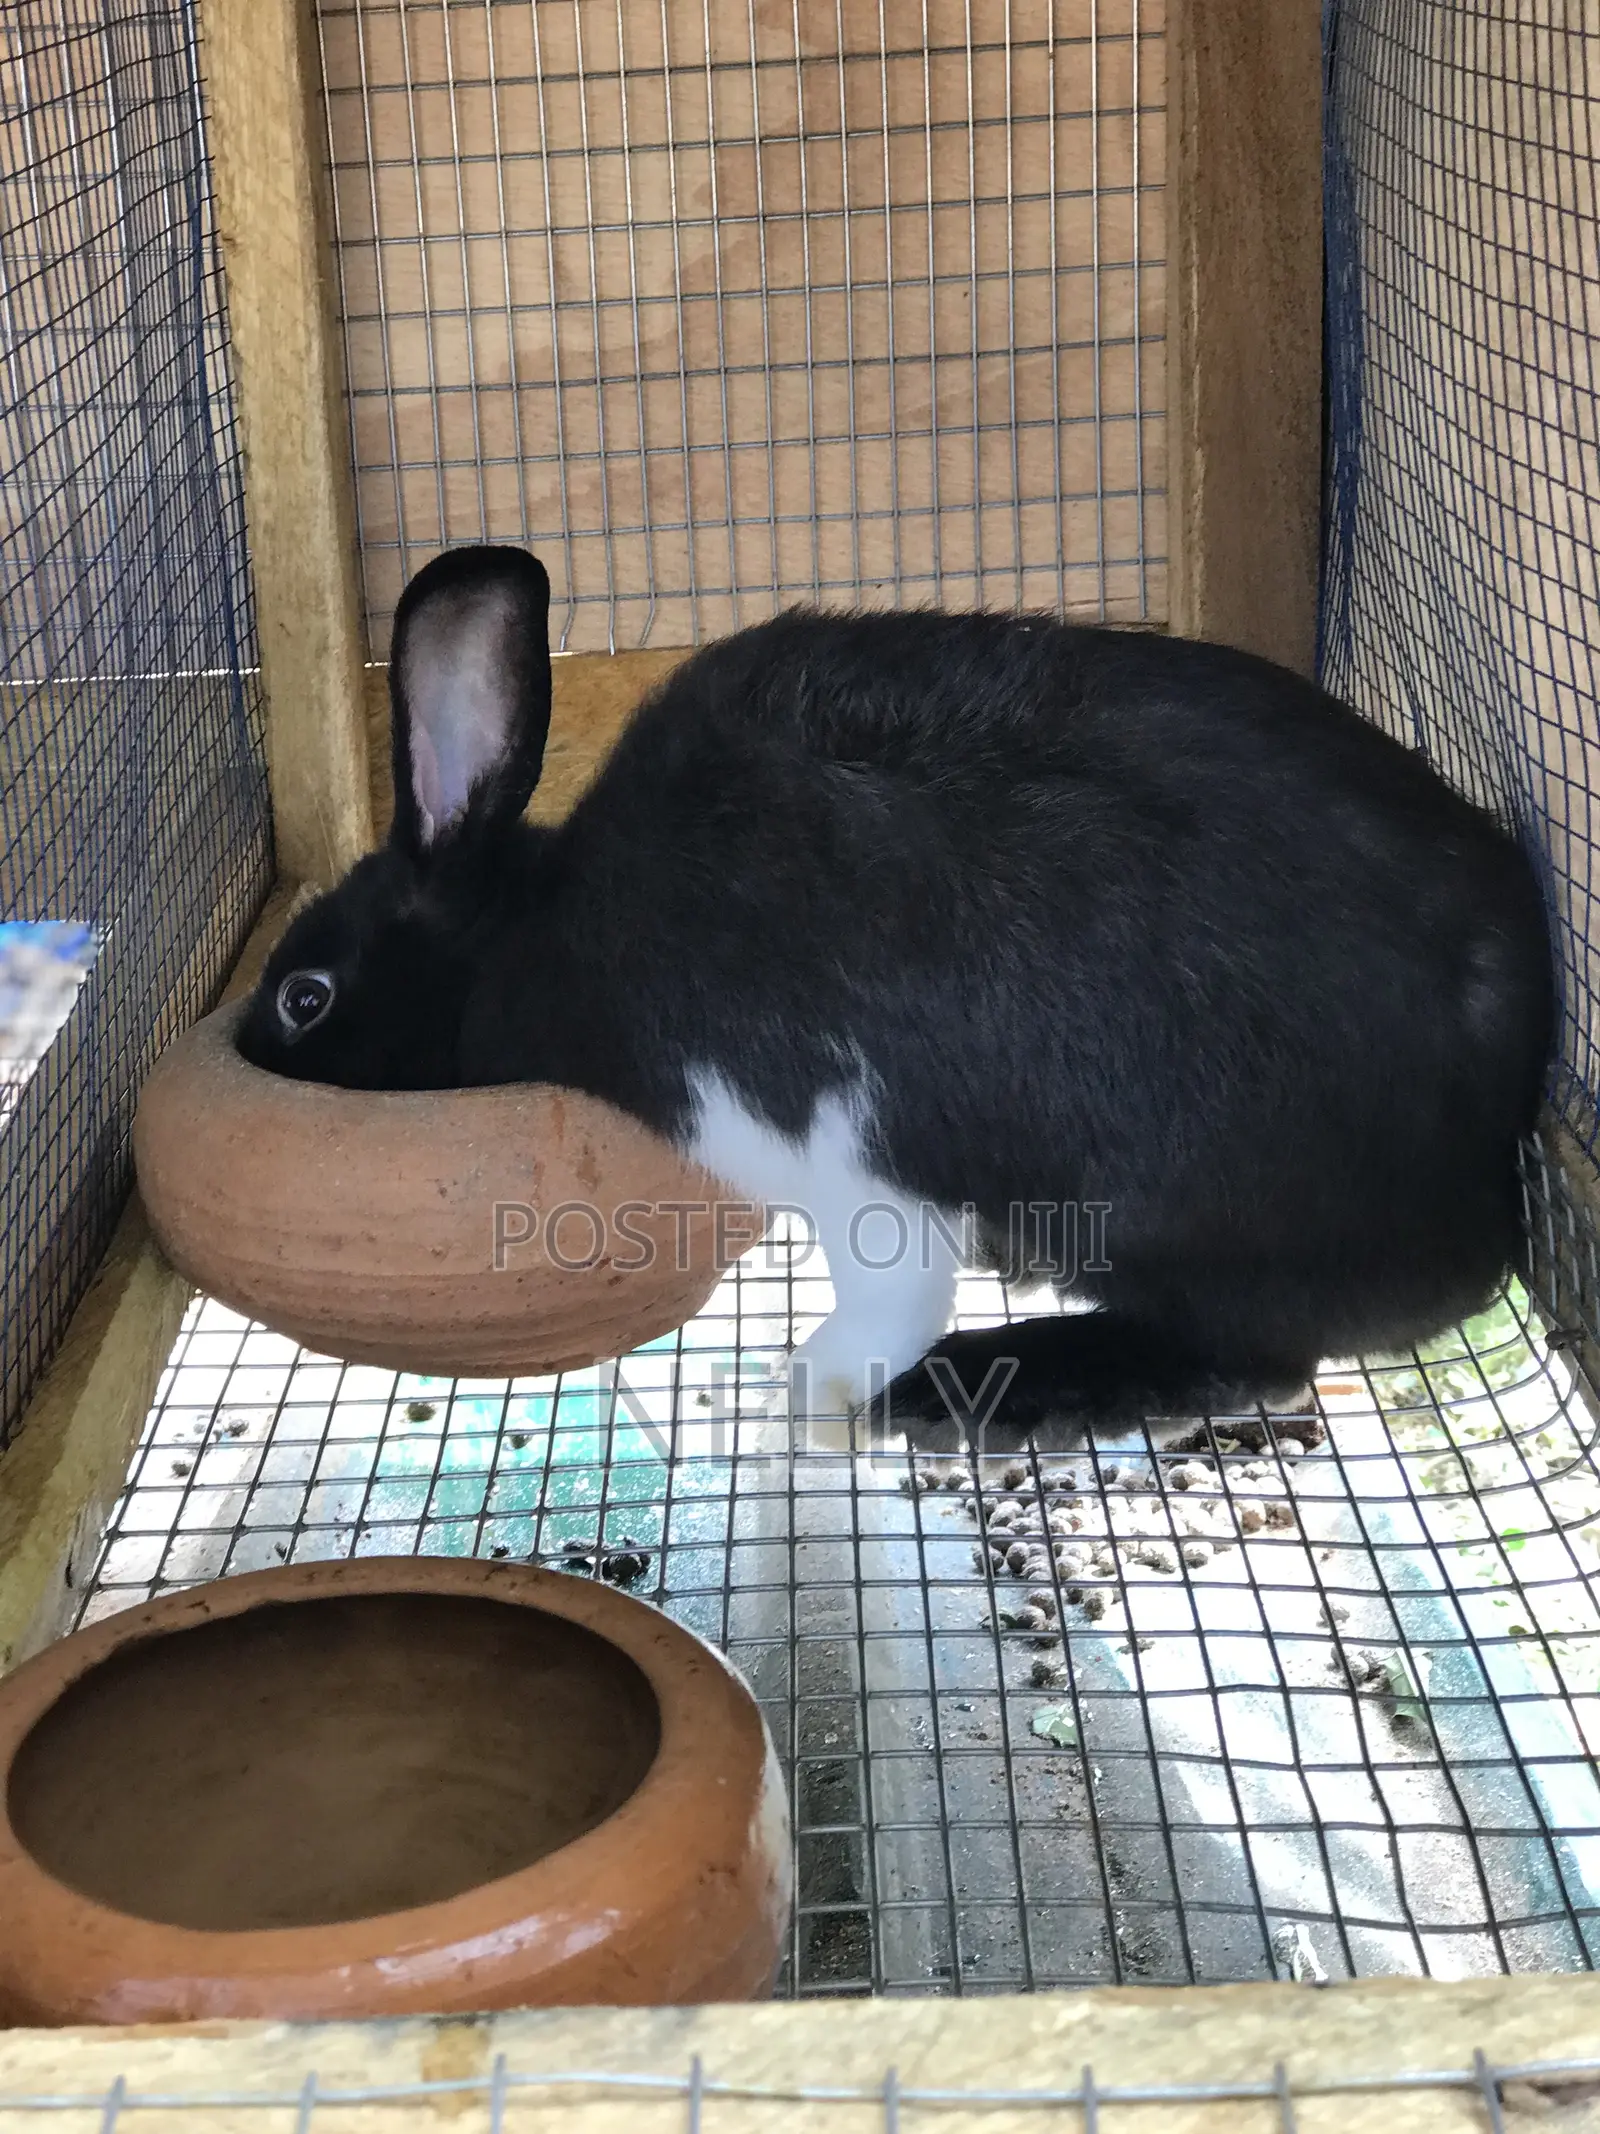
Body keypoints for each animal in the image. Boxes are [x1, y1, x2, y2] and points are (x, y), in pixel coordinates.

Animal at [236, 543, 1556, 1456]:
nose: (249, 1049)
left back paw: (987, 1388)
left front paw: (809, 1399)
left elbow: (885, 1299)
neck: (542, 924)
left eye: (304, 996)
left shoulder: (830, 1149)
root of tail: (1488, 1188)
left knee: (1252, 1351)